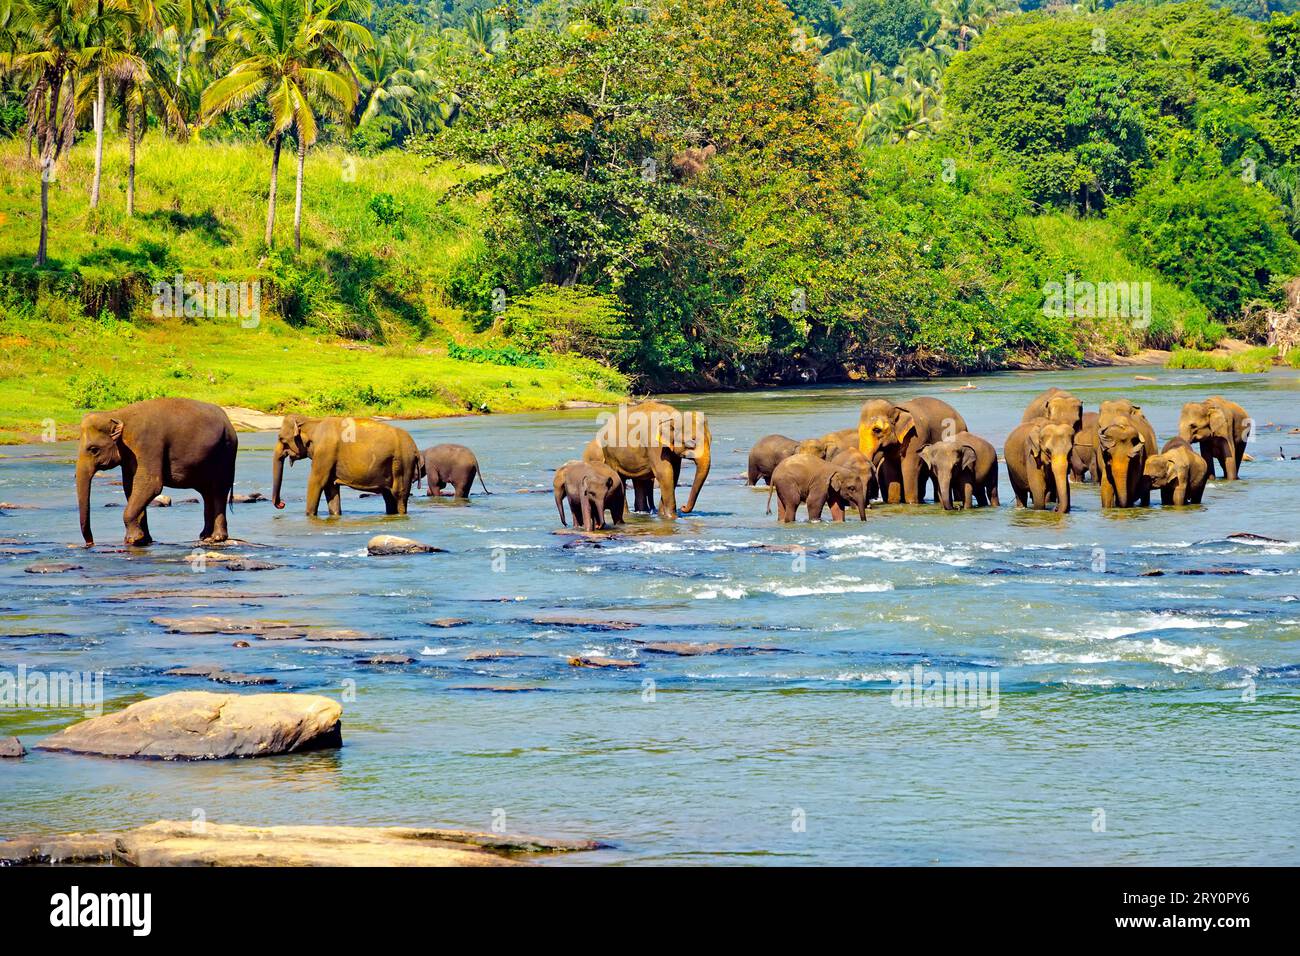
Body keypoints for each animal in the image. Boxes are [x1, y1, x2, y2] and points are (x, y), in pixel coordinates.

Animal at [76, 398, 237, 547]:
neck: (118, 413)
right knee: (207, 492)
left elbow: (150, 485)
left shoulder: (147, 445)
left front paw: (132, 540)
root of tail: (227, 420)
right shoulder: (130, 455)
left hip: (226, 452)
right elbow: (131, 487)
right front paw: (143, 540)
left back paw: (216, 538)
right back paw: (204, 536)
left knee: (218, 490)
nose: (90, 543)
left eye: (94, 450)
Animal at [272, 415, 420, 516]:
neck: (311, 421)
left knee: (399, 494)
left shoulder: (325, 451)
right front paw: (336, 516)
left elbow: (317, 482)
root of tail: (415, 449)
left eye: (281, 439)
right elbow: (330, 488)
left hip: (403, 462)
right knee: (388, 496)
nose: (282, 504)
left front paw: (309, 516)